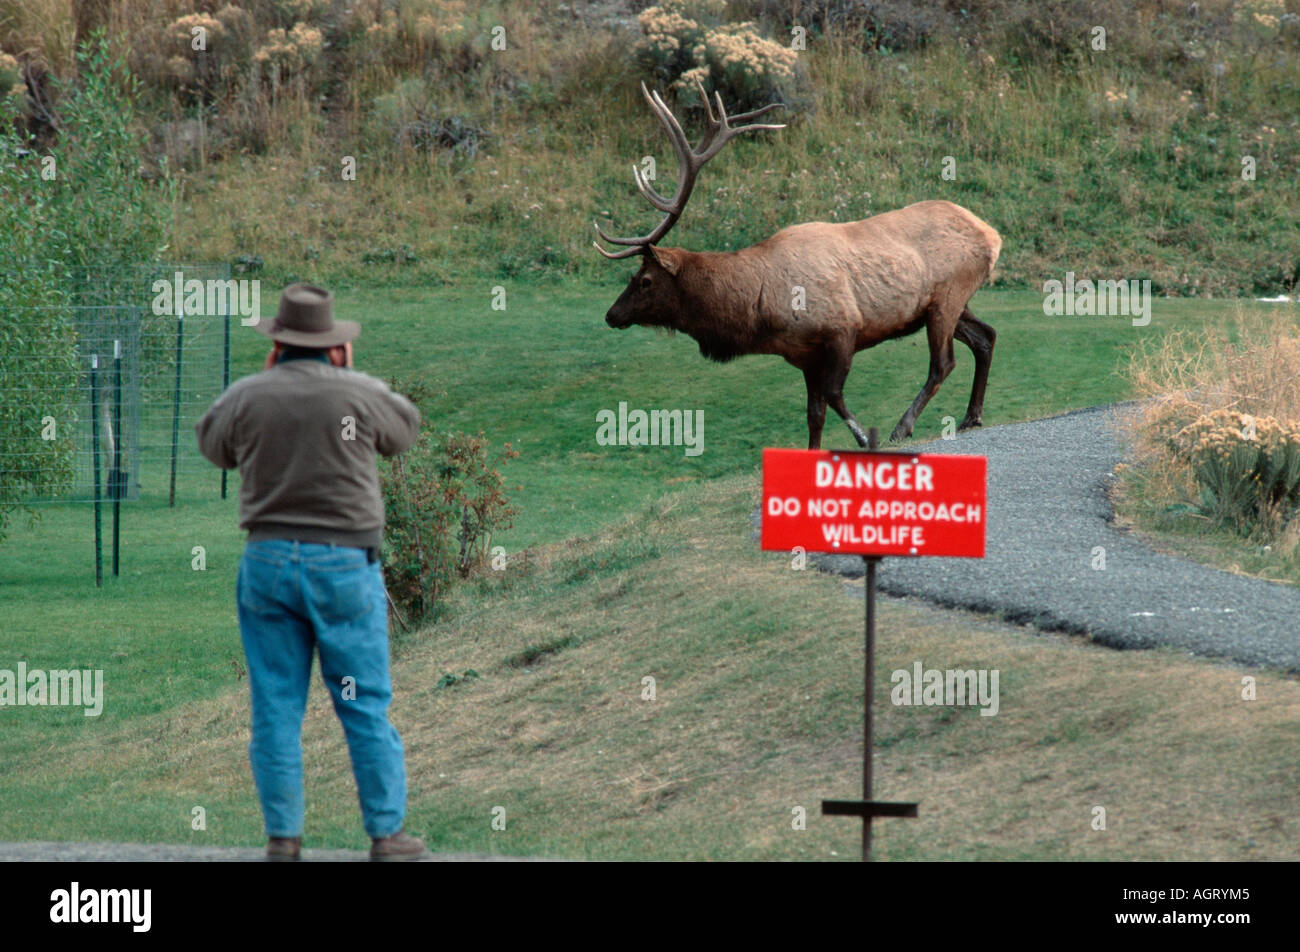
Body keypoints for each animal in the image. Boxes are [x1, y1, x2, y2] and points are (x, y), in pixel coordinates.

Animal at [595, 80, 1001, 449]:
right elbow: (814, 414)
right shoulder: (803, 355)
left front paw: (865, 438)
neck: (759, 311)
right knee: (986, 336)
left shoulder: (843, 329)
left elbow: (834, 395)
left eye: (645, 279)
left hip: (948, 296)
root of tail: (993, 235)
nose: (611, 315)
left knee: (942, 363)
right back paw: (972, 416)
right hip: (947, 303)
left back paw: (904, 427)